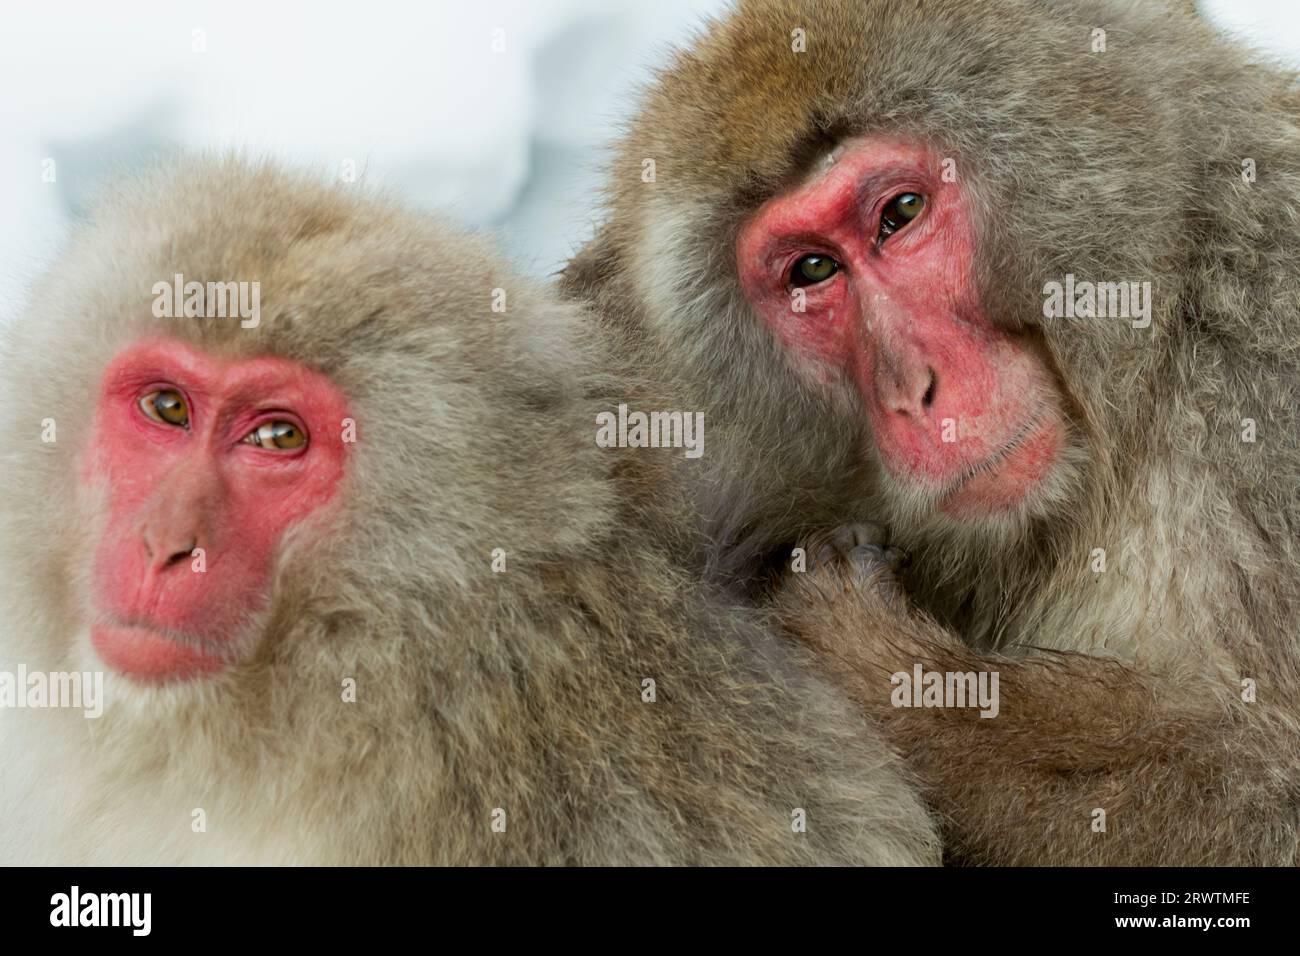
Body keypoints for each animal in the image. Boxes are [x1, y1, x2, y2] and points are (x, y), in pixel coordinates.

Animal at [562, 0, 1300, 865]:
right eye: (811, 270)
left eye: (901, 214)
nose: (913, 389)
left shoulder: (1260, 370)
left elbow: (1269, 794)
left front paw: (877, 671)